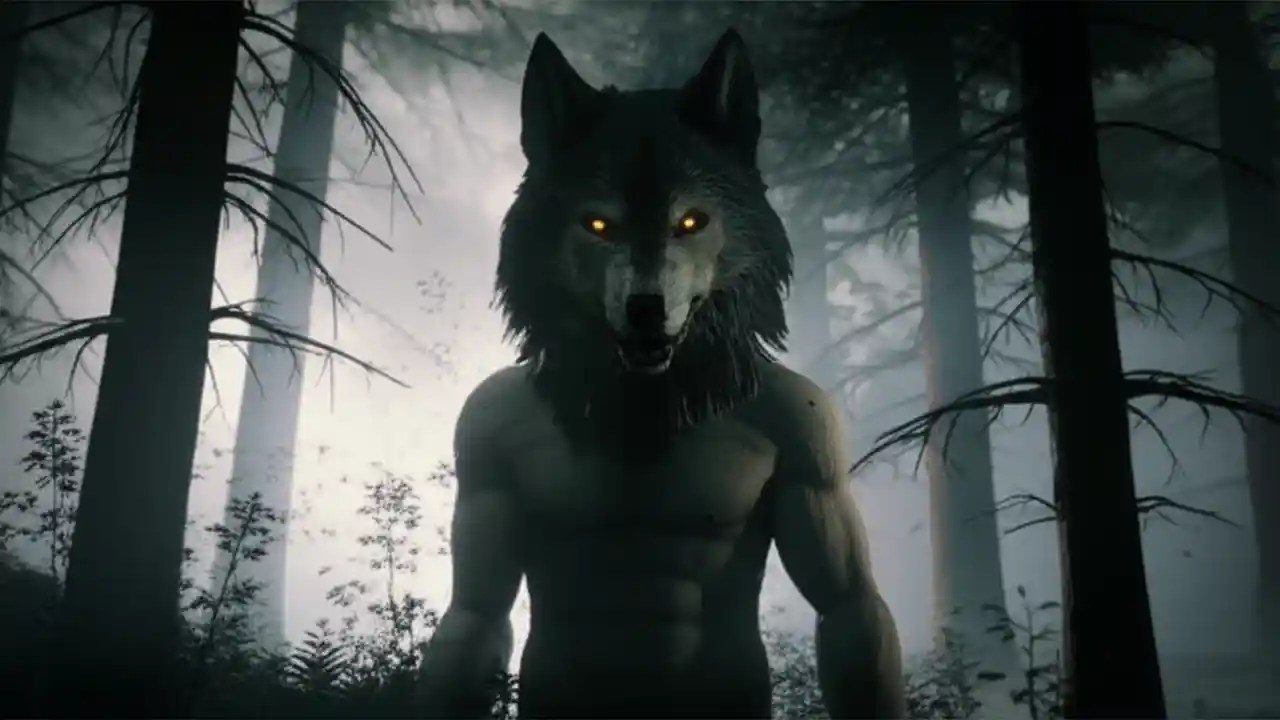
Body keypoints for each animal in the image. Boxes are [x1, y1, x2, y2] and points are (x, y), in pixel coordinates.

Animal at [416, 29, 906, 719]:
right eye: (599, 224)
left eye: (690, 221)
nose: (645, 308)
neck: (649, 400)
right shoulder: (480, 431)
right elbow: (477, 611)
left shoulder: (812, 431)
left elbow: (846, 603)